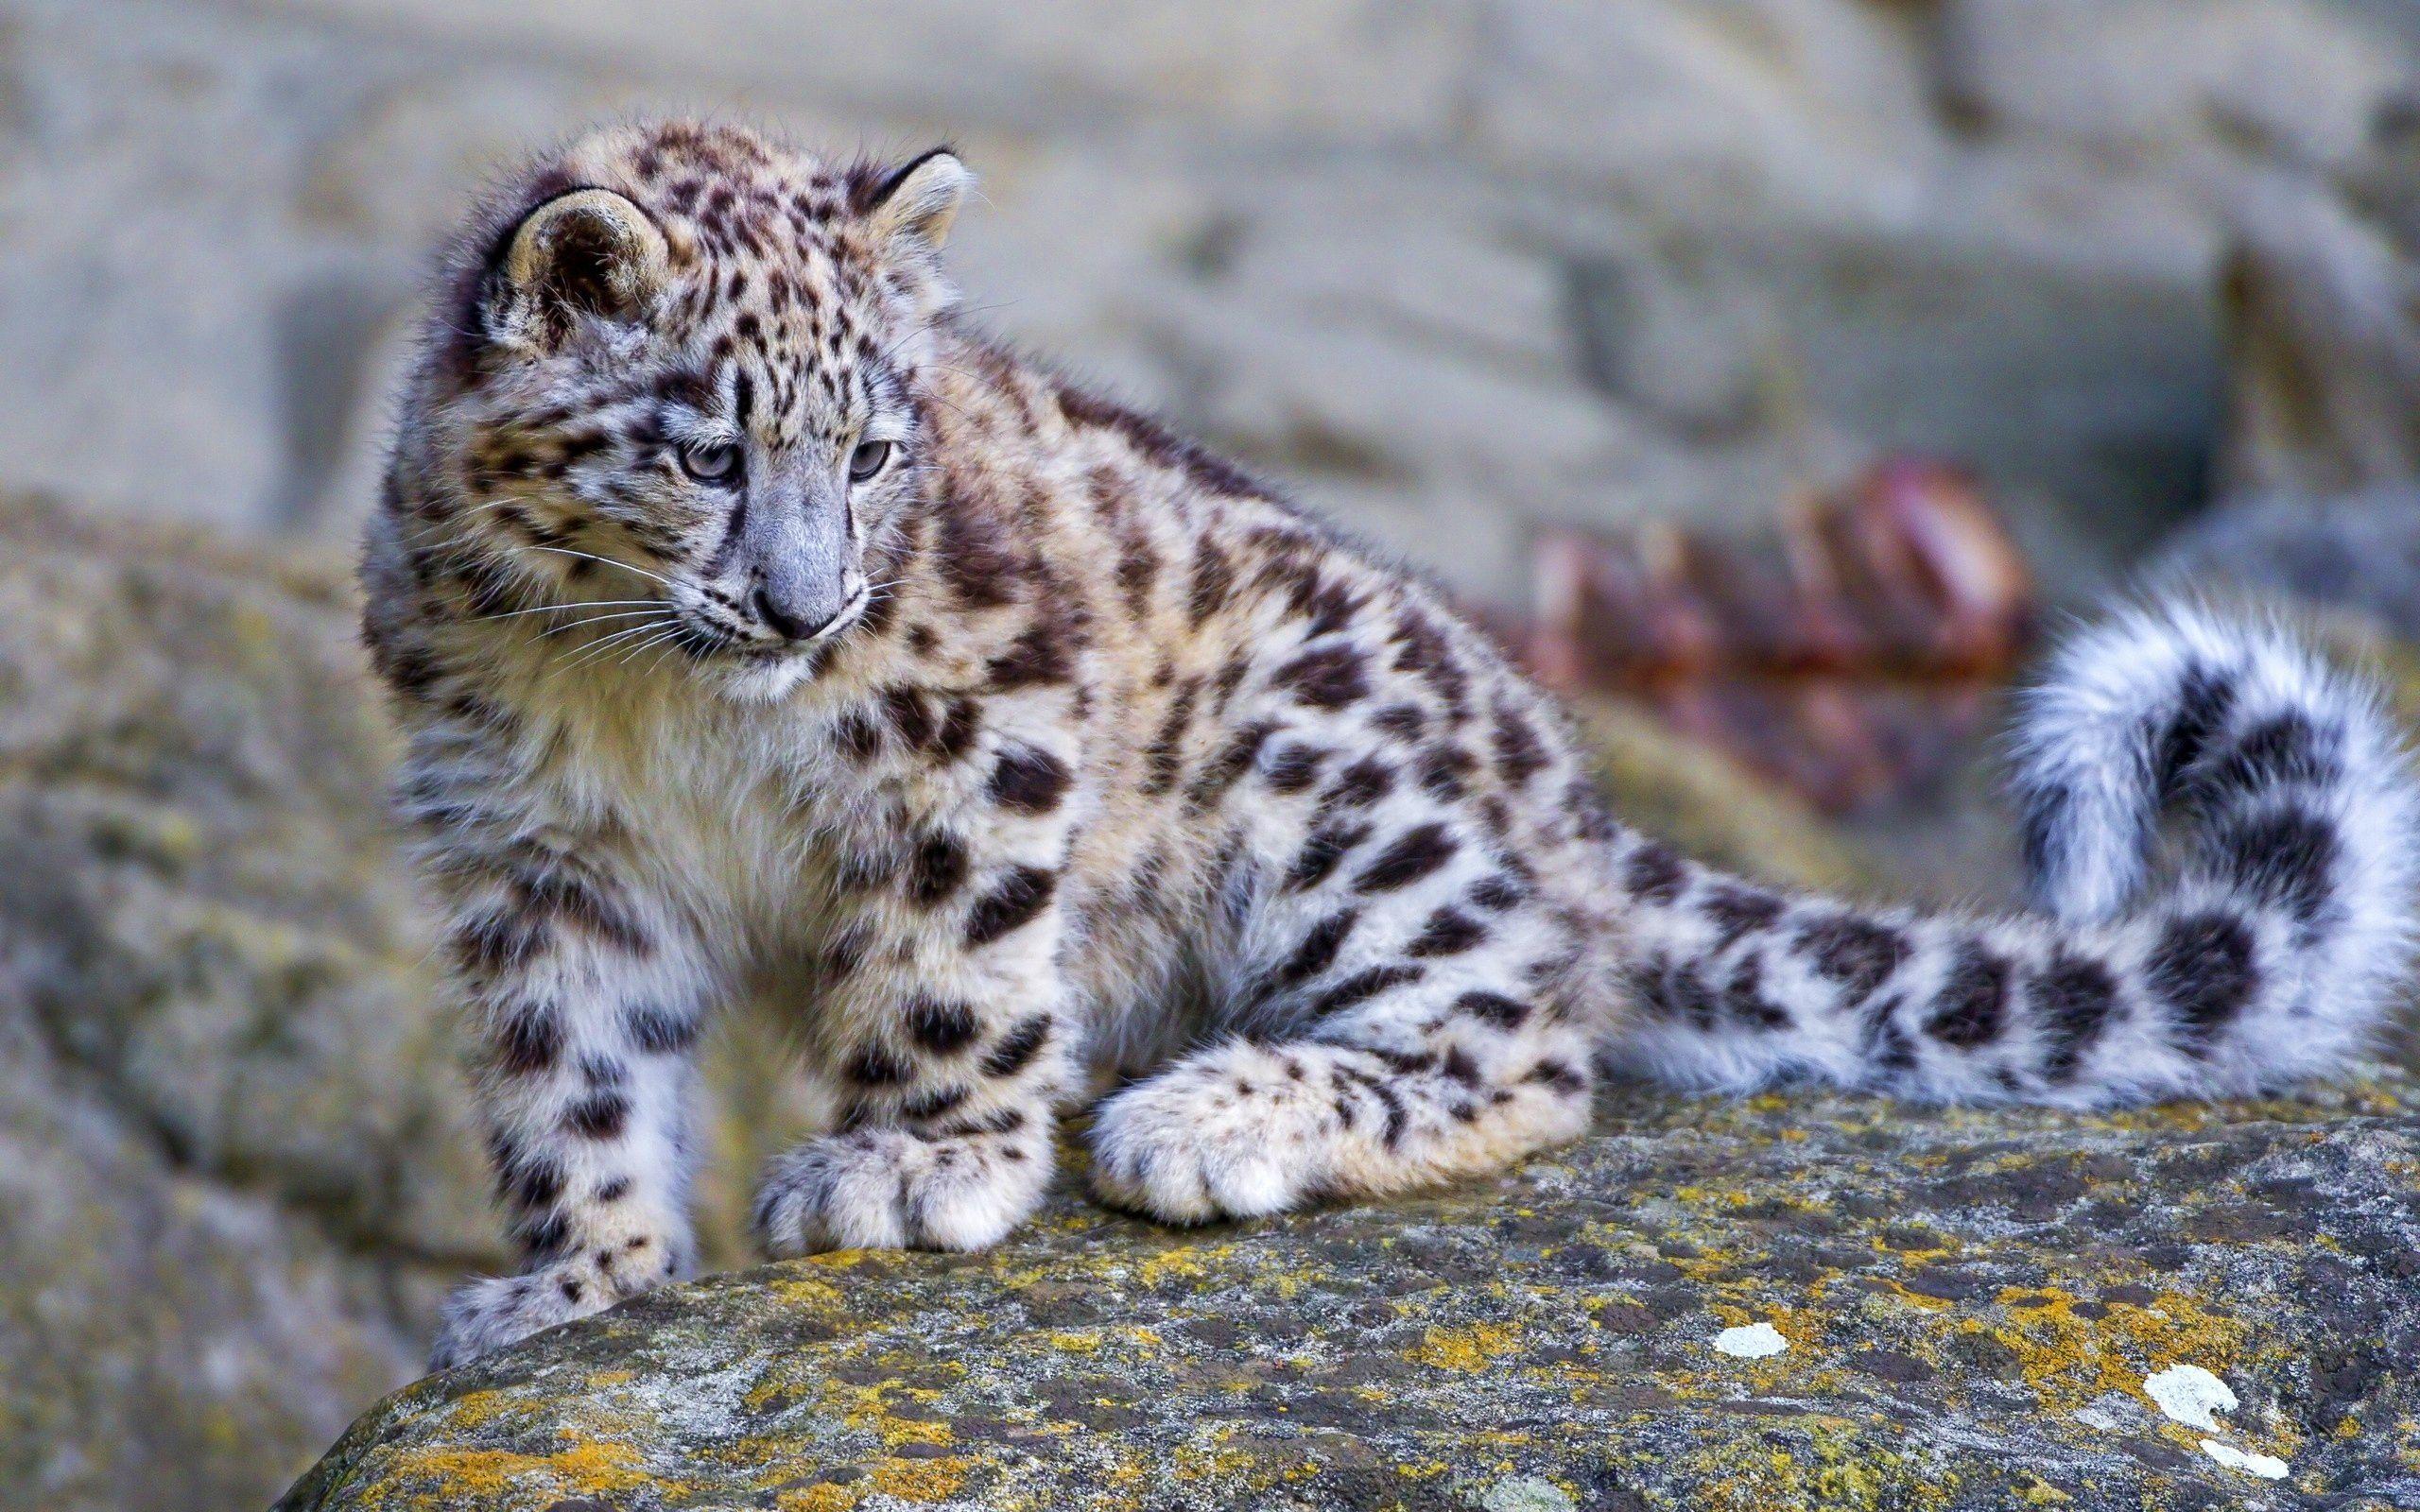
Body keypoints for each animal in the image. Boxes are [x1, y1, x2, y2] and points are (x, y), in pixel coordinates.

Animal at [359, 119, 2420, 1369]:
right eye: (709, 451)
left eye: (869, 450)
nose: (804, 608)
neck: (655, 703)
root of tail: (1570, 799)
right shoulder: (534, 853)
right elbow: (571, 1075)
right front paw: (574, 1281)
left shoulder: (980, 725)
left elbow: (949, 966)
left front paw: (915, 1163)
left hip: (1326, 782)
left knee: (1521, 1049)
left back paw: (1204, 1115)